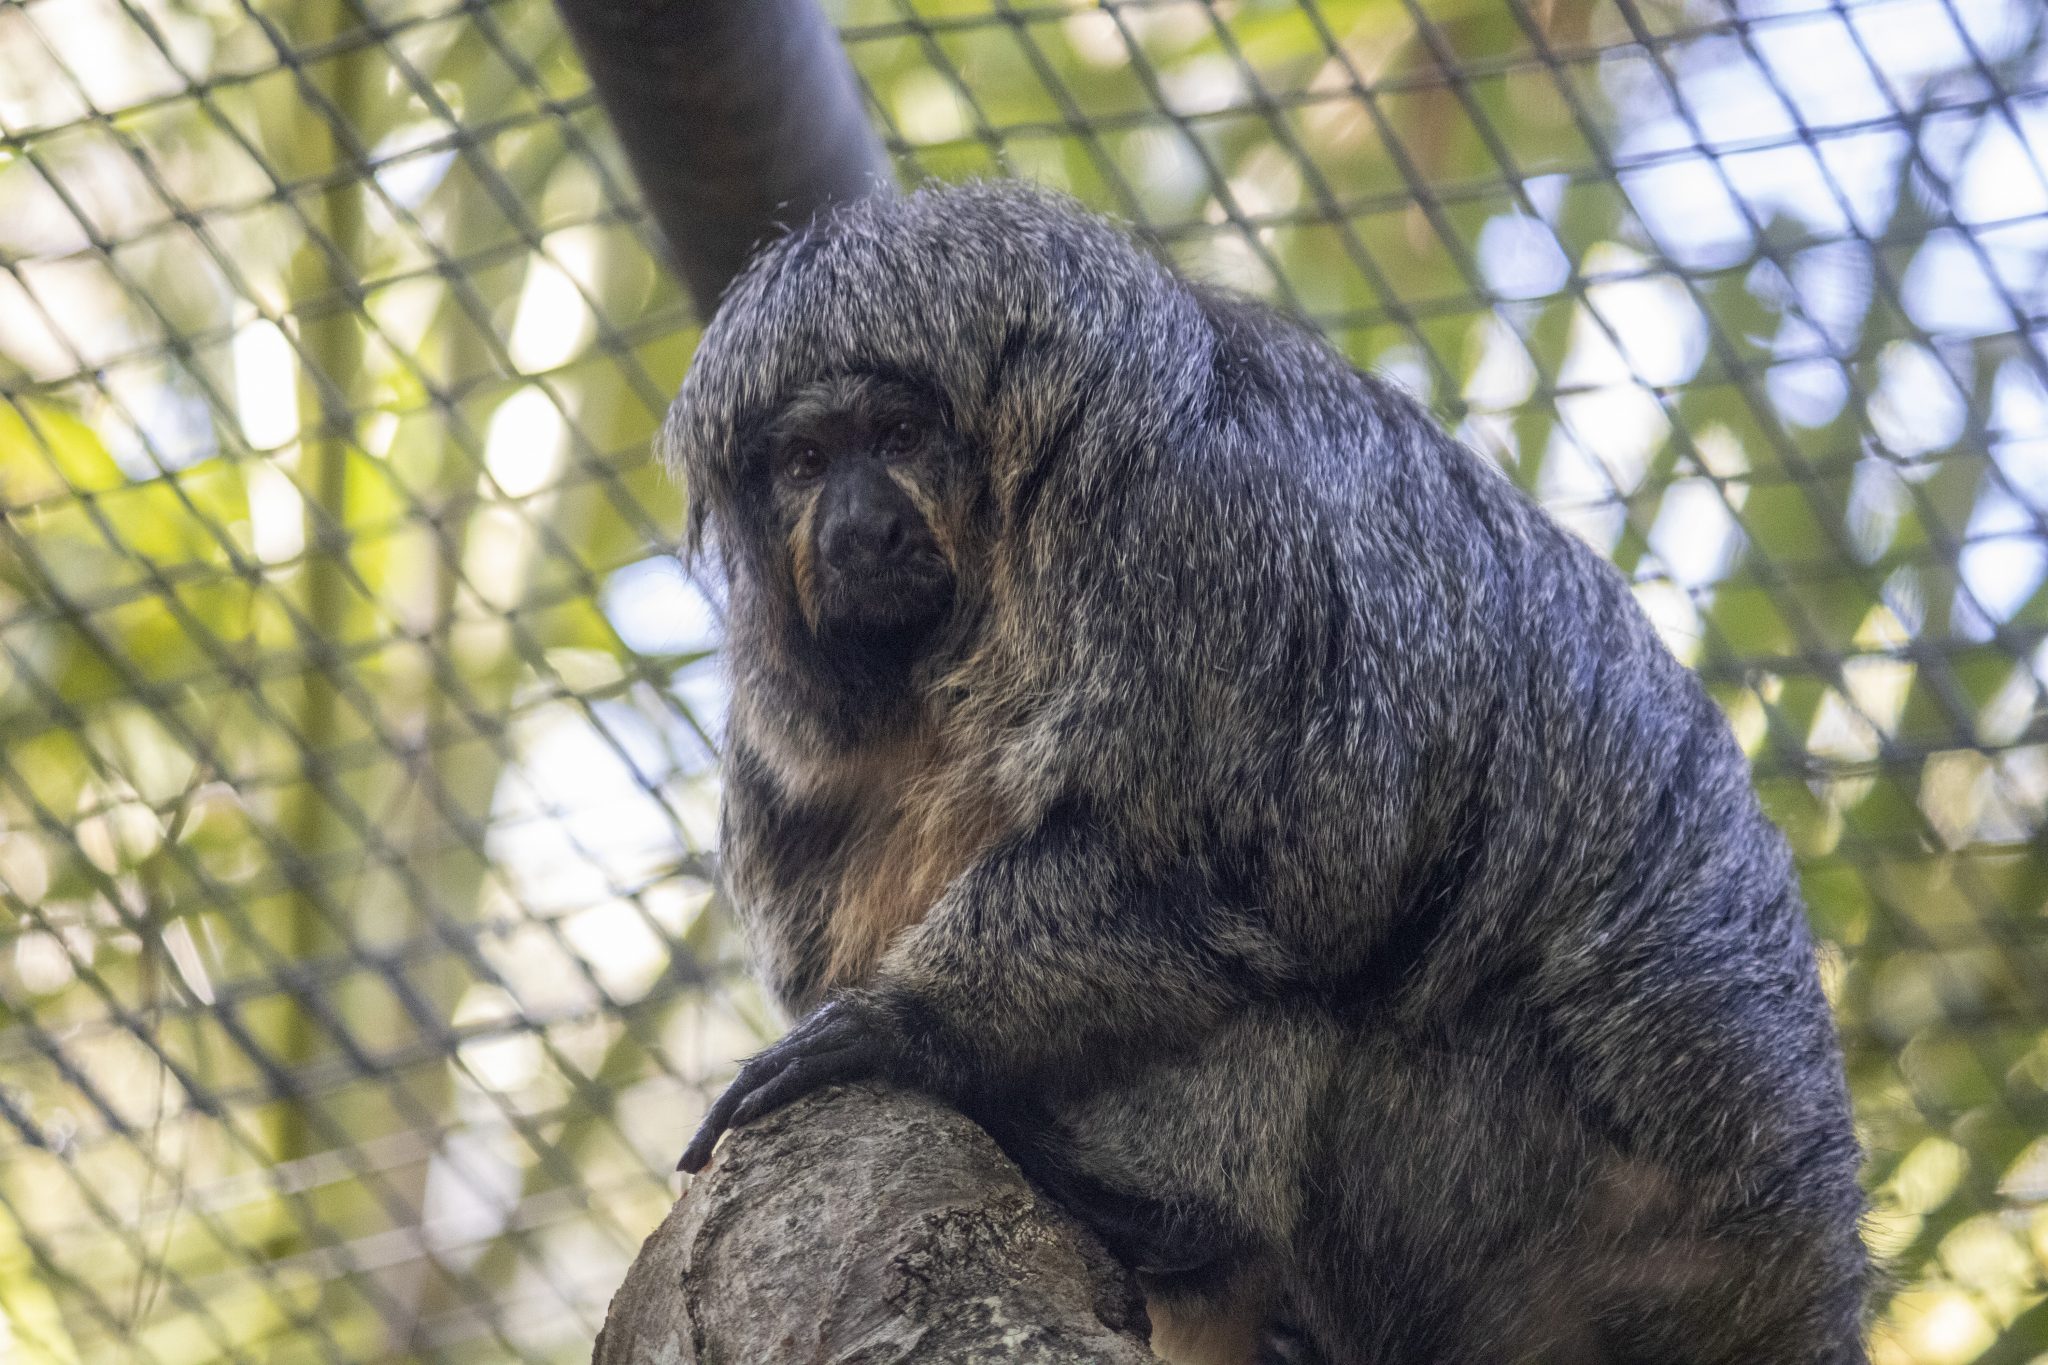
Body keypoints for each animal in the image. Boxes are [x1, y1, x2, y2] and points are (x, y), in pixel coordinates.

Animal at [665, 182, 1869, 1365]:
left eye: (900, 434)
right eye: (804, 463)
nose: (857, 528)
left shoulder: (1191, 526)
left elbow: (1270, 864)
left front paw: (908, 1025)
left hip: (1523, 1179)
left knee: (1306, 963)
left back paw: (1149, 1208)